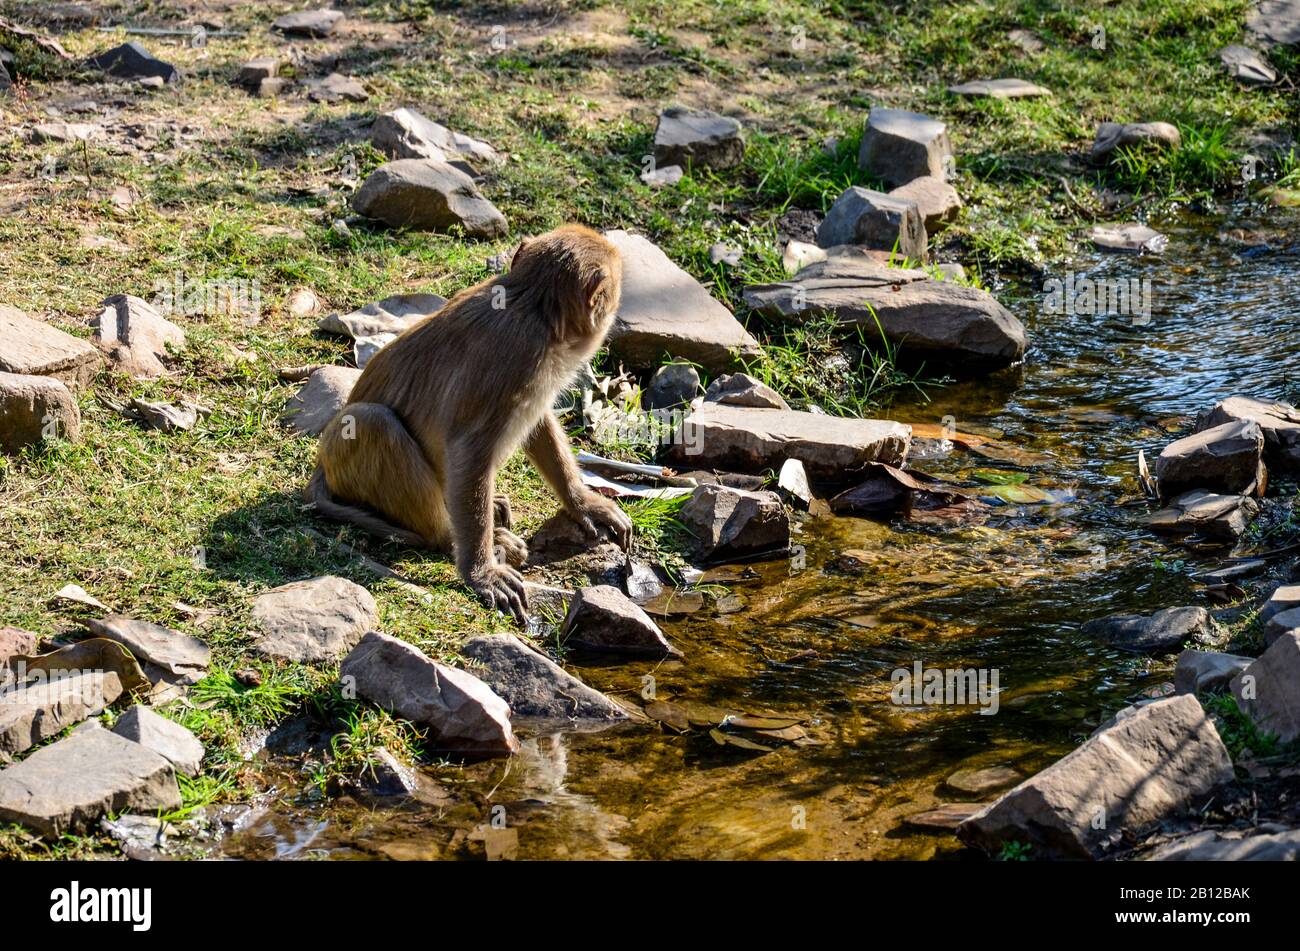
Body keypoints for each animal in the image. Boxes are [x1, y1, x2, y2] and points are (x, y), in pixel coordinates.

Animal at [306, 224, 633, 624]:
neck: (533, 306)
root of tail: (322, 468)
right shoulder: (518, 359)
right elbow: (469, 447)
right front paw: (481, 573)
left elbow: (537, 420)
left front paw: (583, 502)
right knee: (373, 422)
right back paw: (454, 537)